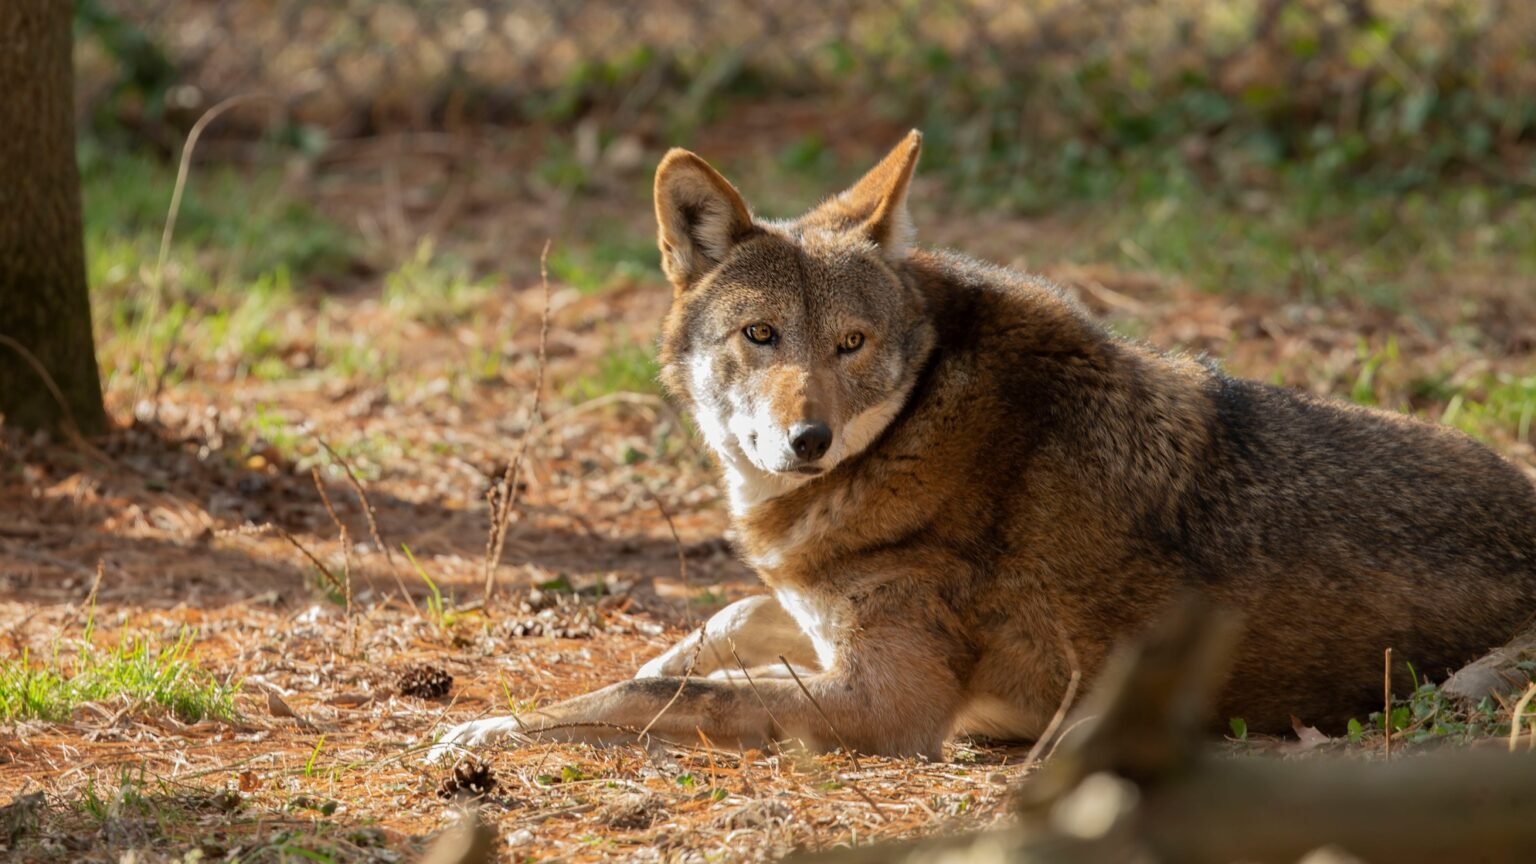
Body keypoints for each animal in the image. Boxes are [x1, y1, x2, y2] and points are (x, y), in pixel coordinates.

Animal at [429, 131, 1536, 762]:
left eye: (851, 344)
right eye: (761, 336)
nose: (807, 440)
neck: (915, 429)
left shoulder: (887, 702)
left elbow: (673, 690)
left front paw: (491, 728)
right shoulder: (816, 623)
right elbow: (721, 626)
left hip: (1462, 690)